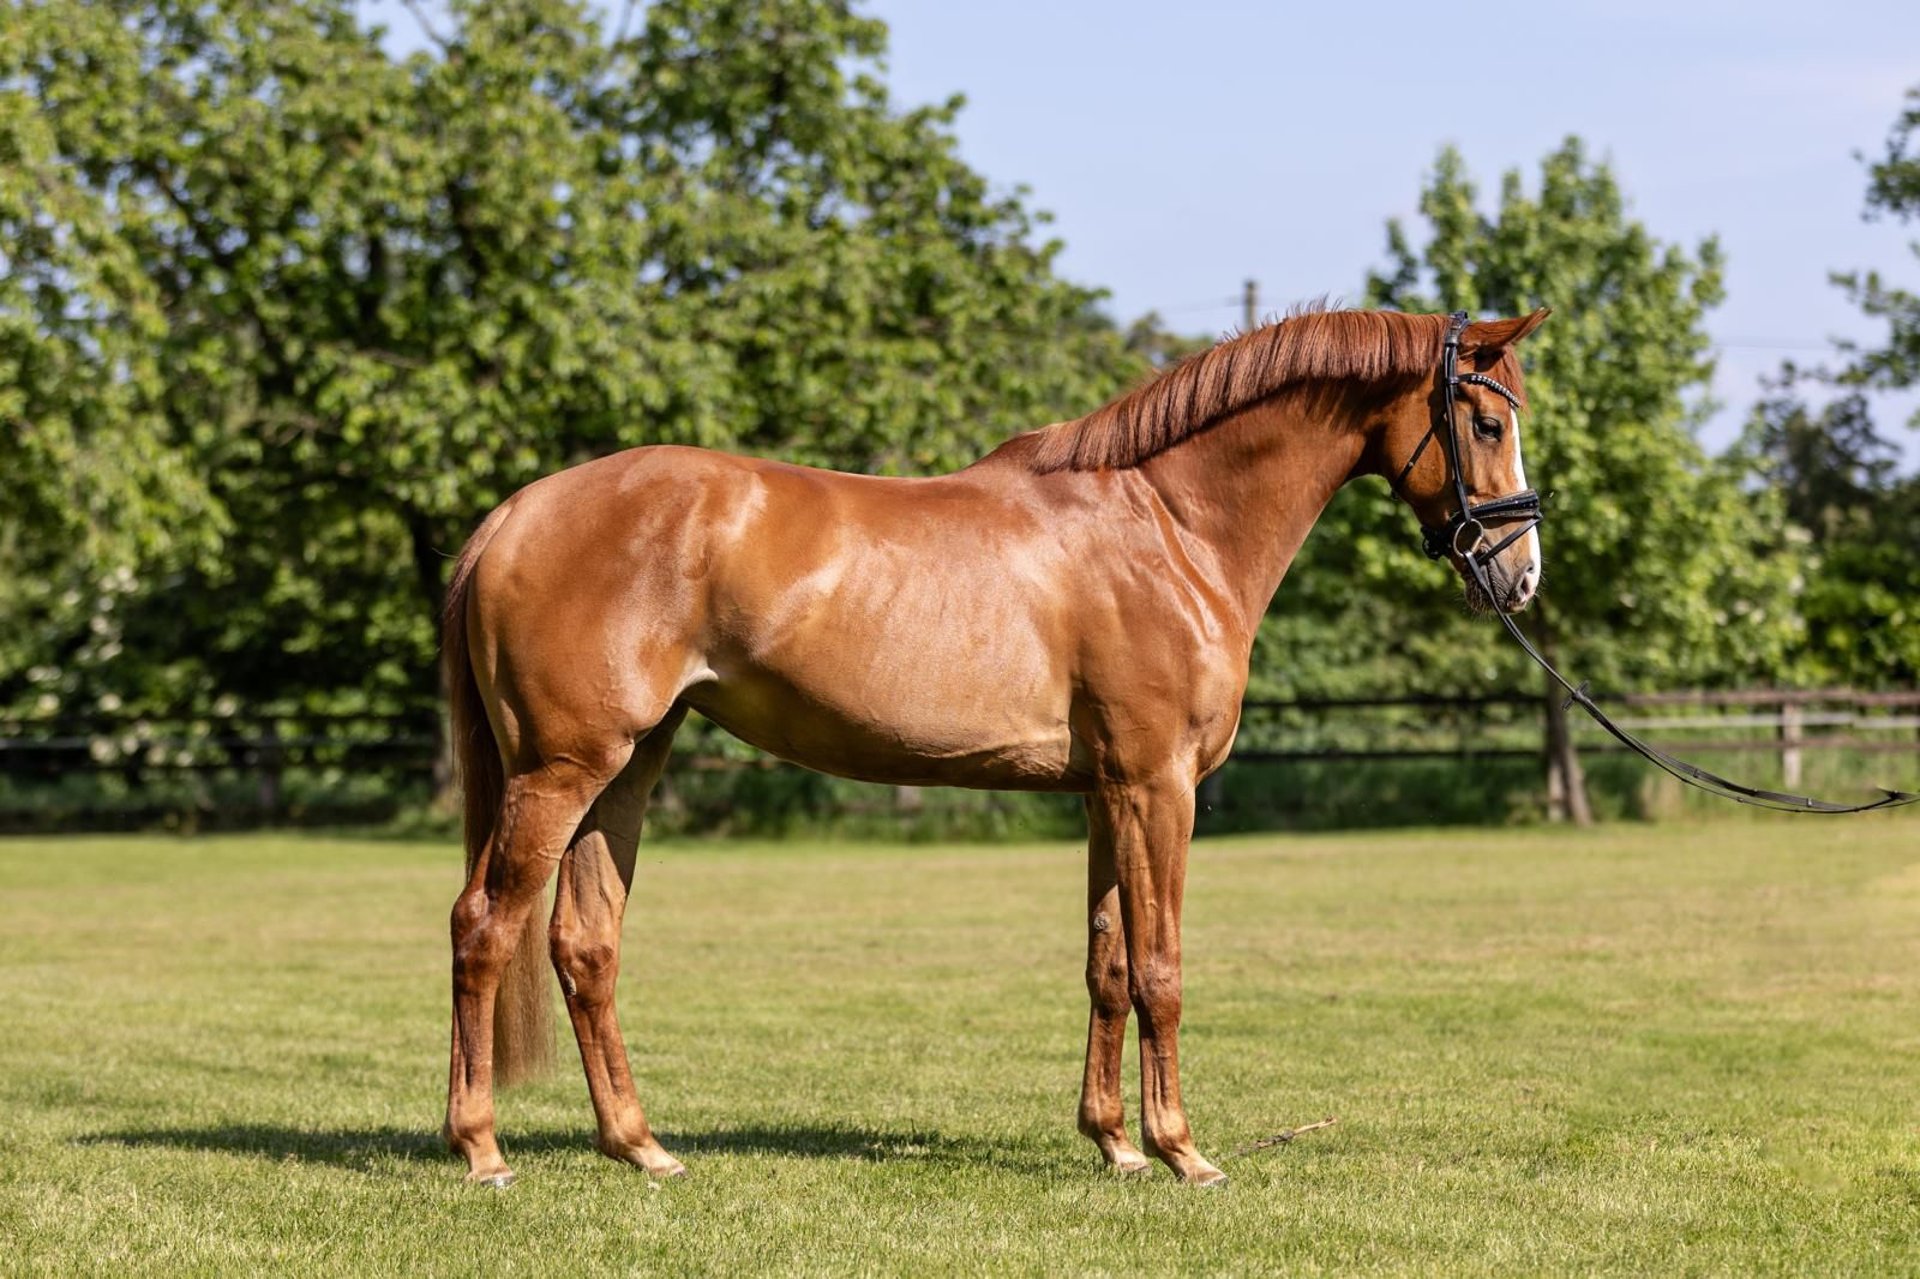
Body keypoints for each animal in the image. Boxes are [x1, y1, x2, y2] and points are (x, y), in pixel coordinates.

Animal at [440, 304, 1551, 1188]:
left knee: (584, 943)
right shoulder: (1159, 787)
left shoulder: (1108, 793)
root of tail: (513, 514)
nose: (1521, 573)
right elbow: (1161, 967)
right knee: (483, 925)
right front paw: (1183, 1150)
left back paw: (640, 1146)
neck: (1169, 526)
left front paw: (1115, 1144)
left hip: (629, 768)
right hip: (562, 771)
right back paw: (482, 1149)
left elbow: (1108, 964)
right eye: (1487, 421)